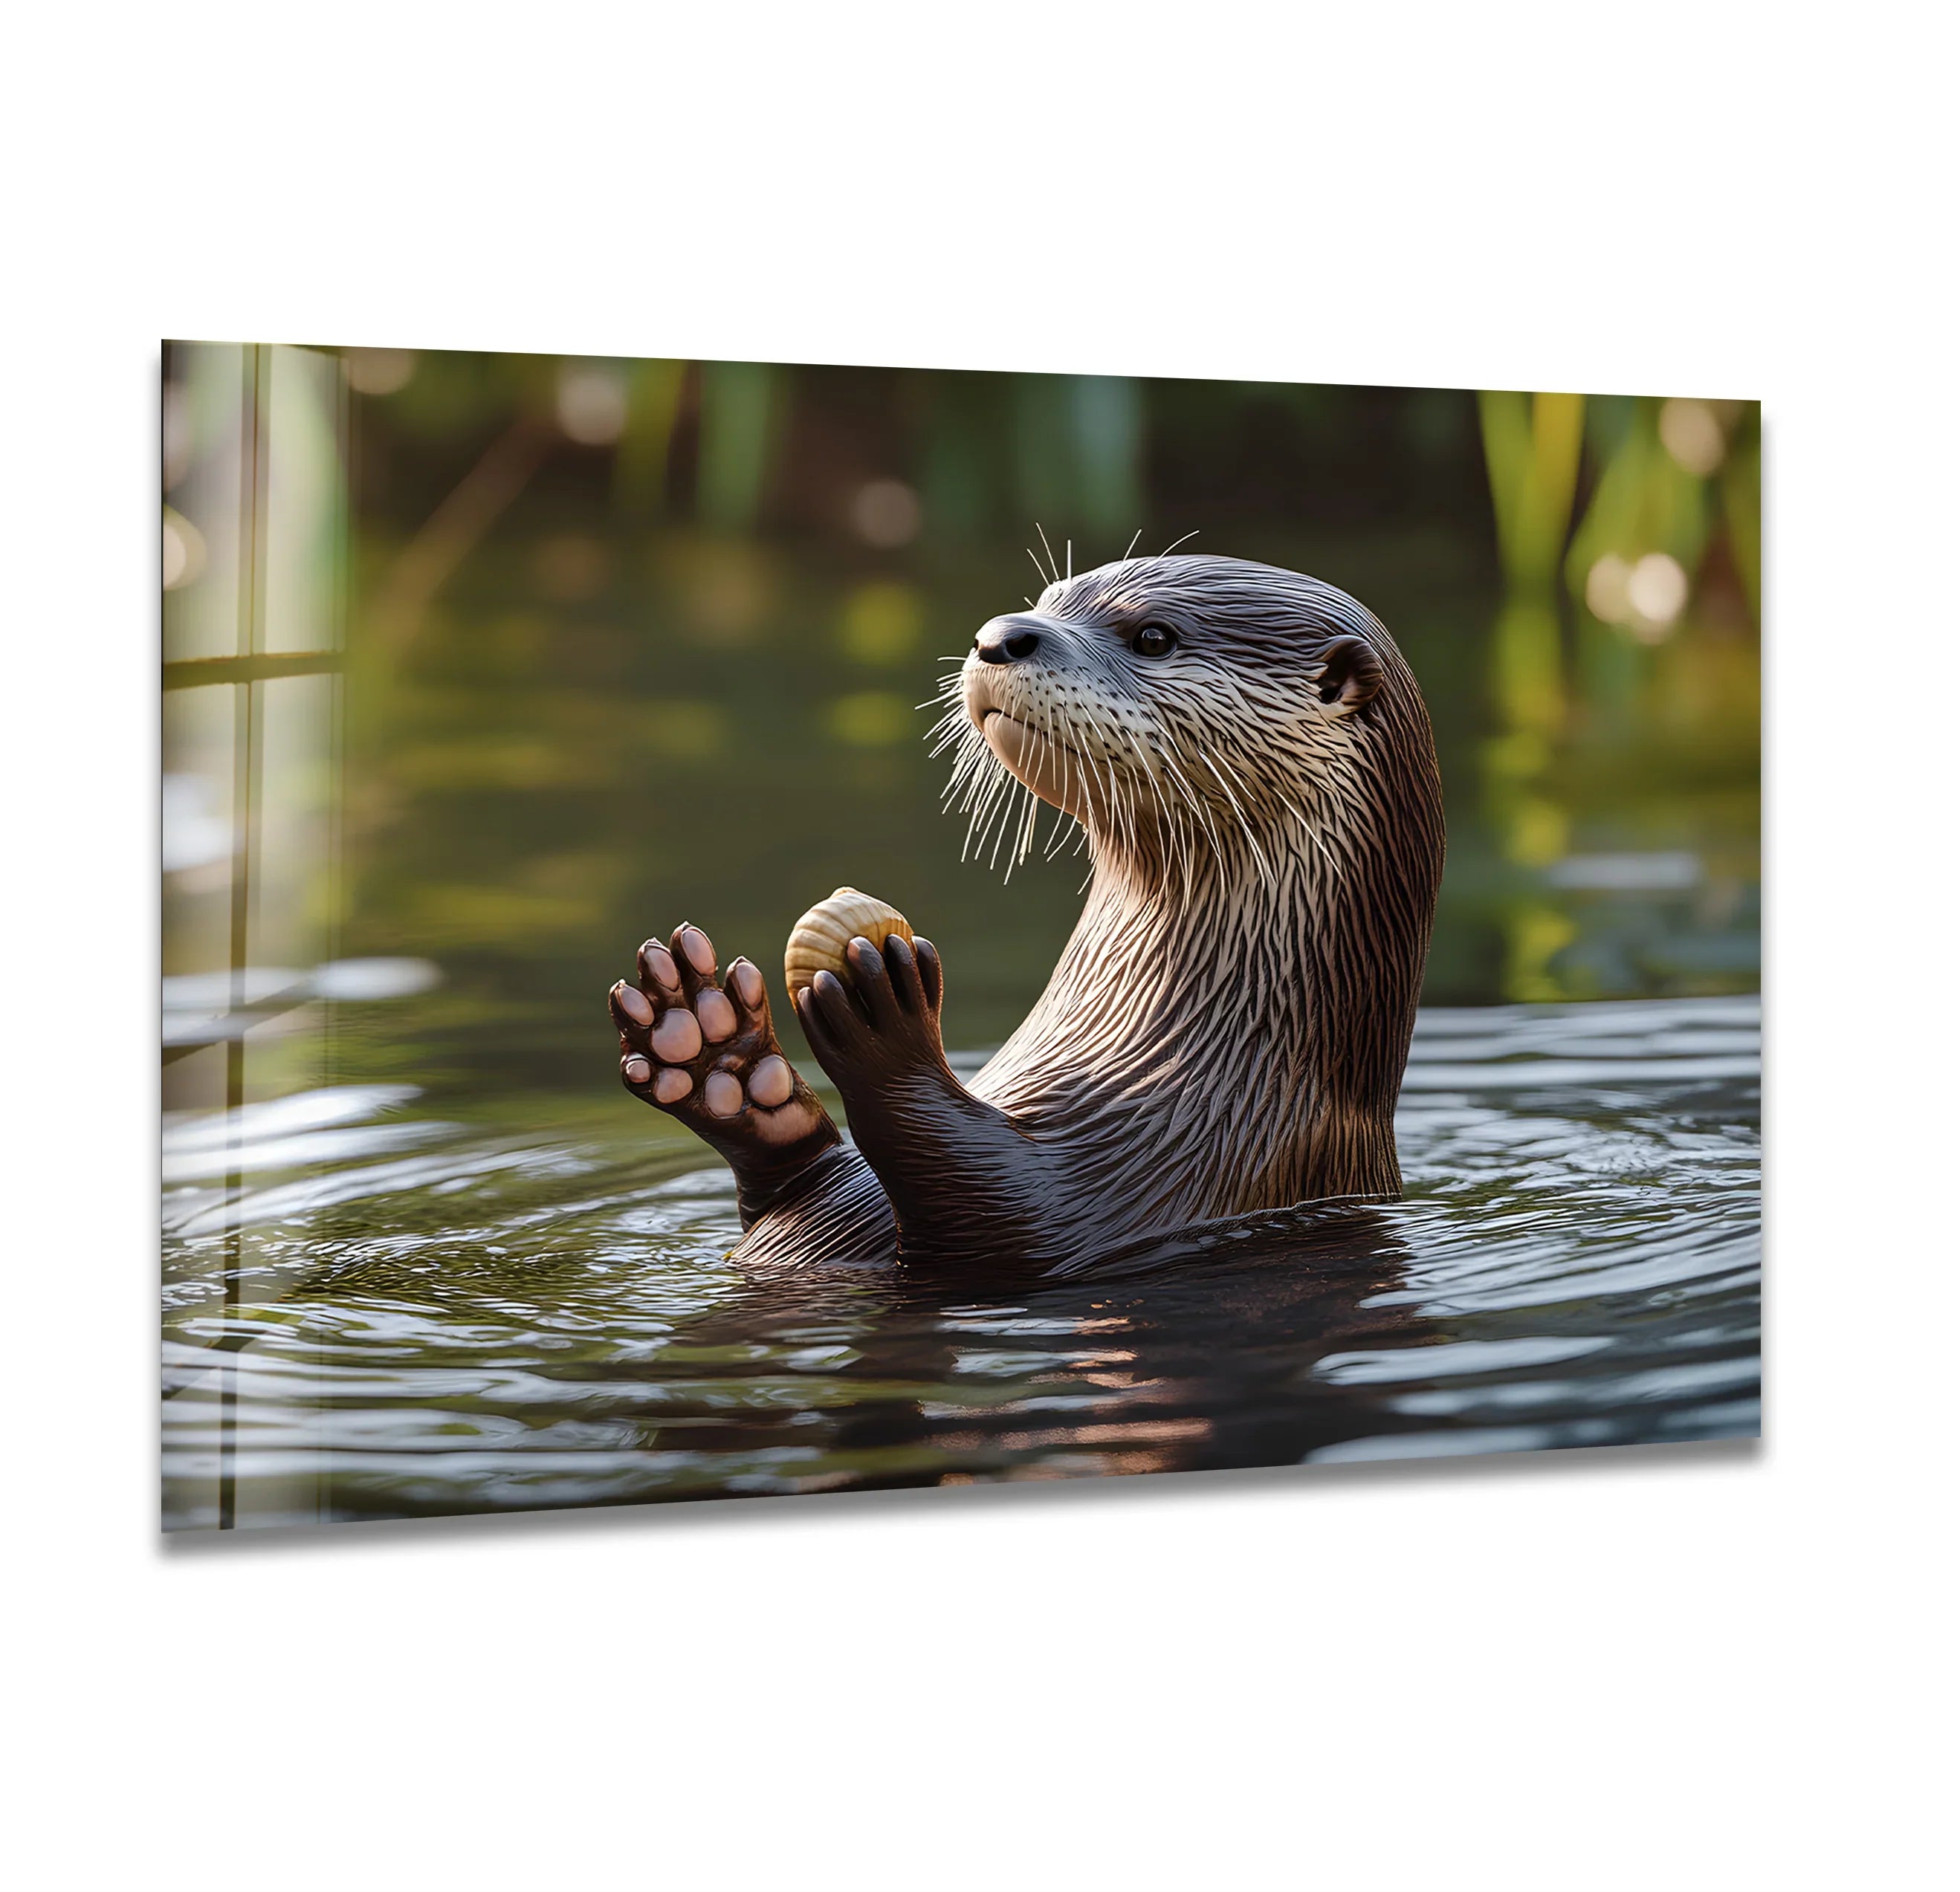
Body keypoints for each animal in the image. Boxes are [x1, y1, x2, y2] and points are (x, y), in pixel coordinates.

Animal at [607, 553, 1445, 1276]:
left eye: (1153, 637)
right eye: (1049, 600)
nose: (998, 635)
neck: (1206, 1063)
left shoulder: (1173, 1175)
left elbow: (1002, 1213)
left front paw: (886, 1013)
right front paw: (715, 1053)